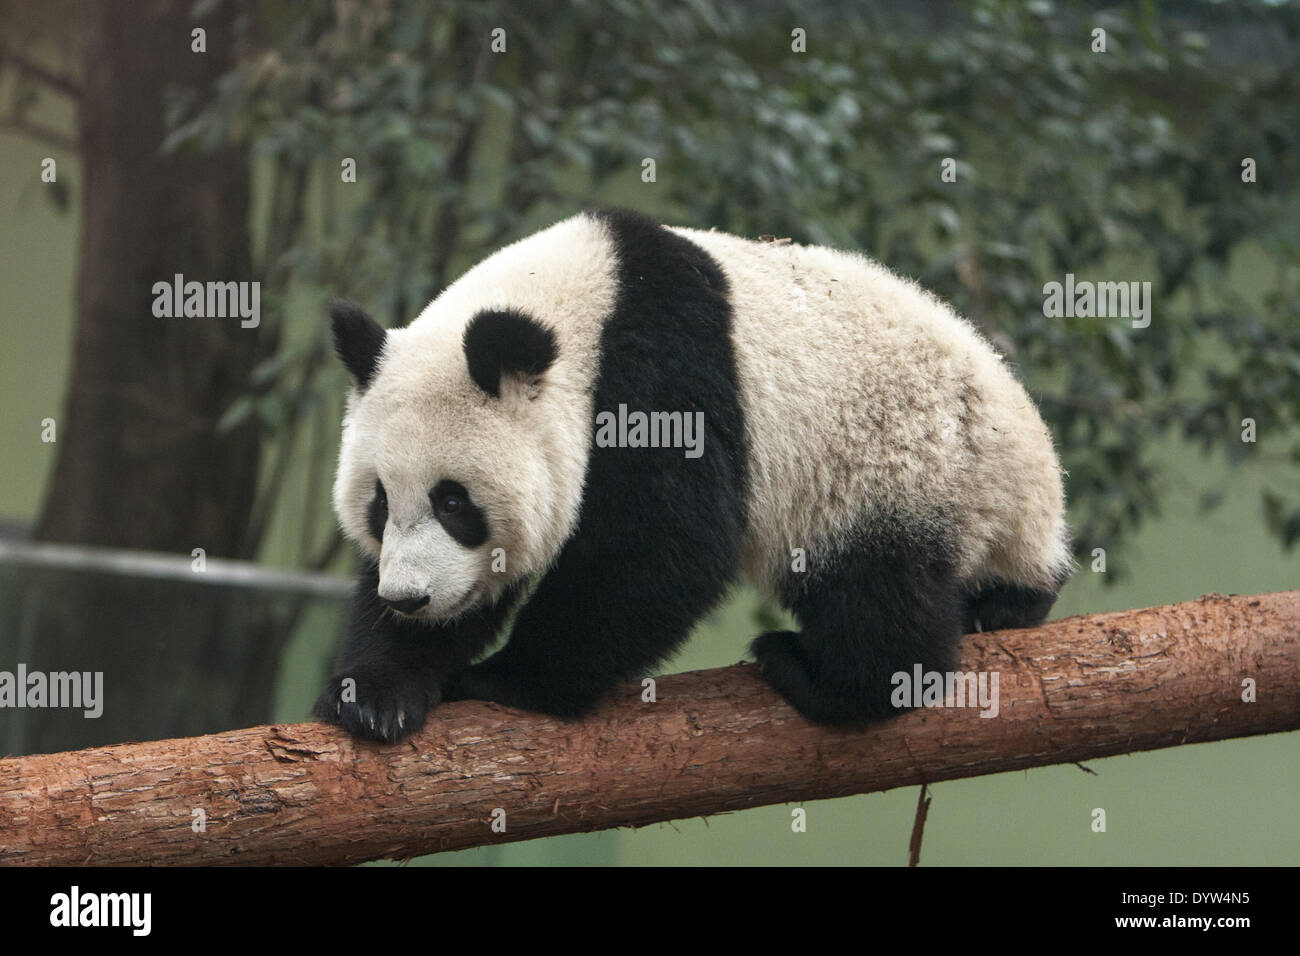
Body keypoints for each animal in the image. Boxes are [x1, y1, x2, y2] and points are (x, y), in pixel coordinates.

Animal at [314, 207, 1072, 743]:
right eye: (379, 504)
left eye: (454, 503)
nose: (410, 598)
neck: (579, 305)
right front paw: (378, 694)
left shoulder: (659, 377)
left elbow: (664, 551)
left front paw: (505, 680)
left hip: (897, 467)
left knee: (876, 593)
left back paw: (816, 672)